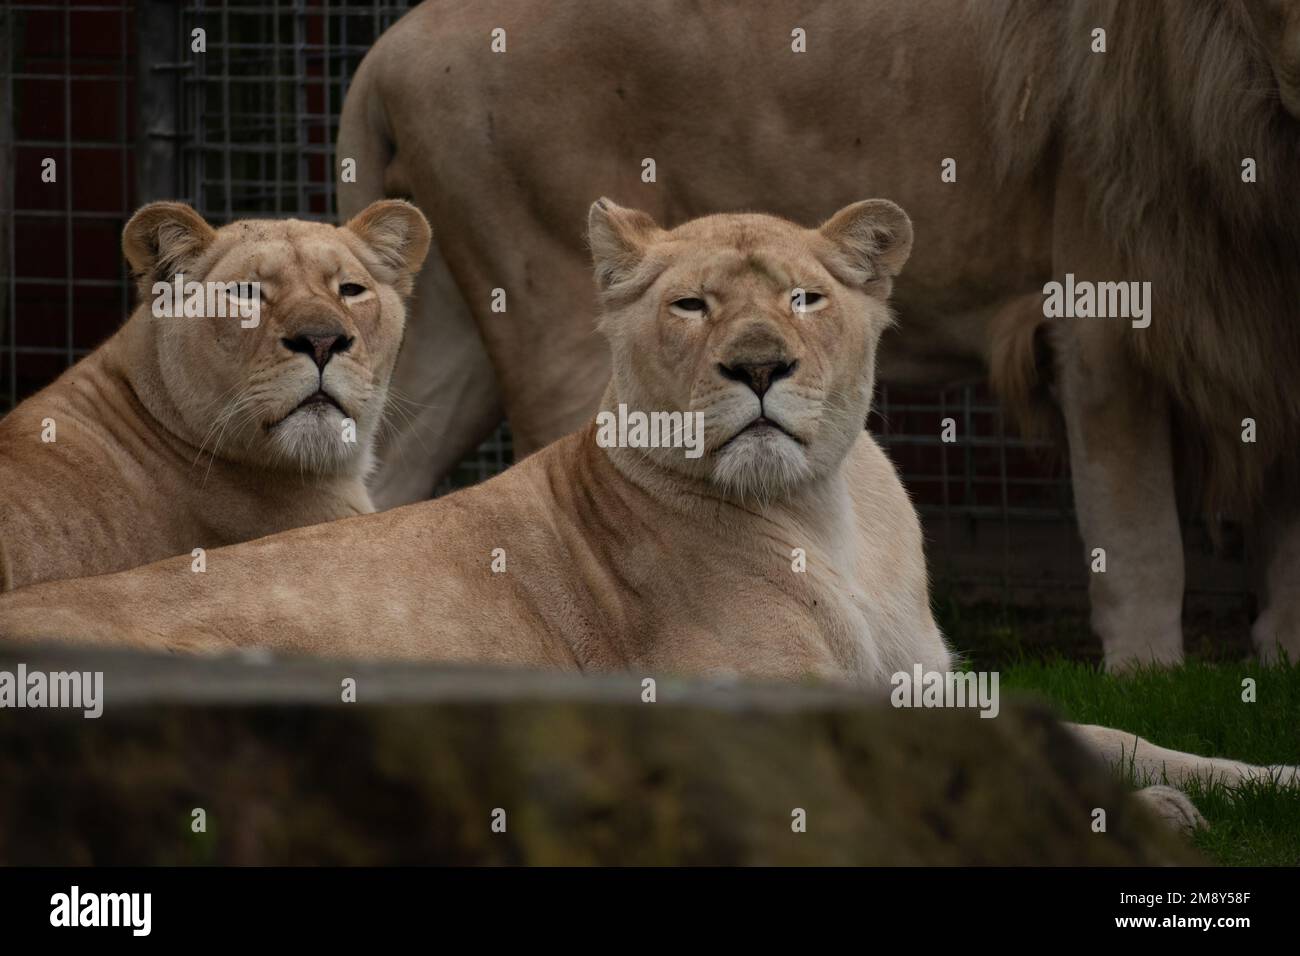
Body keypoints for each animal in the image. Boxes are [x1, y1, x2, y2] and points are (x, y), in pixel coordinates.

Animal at [335, 0, 1300, 669]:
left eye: (808, 299)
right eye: (691, 306)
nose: (761, 367)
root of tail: (392, 42)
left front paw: (1282, 650)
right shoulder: (1101, 291)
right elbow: (1137, 528)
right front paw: (1147, 670)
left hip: (458, 326)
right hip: (550, 309)